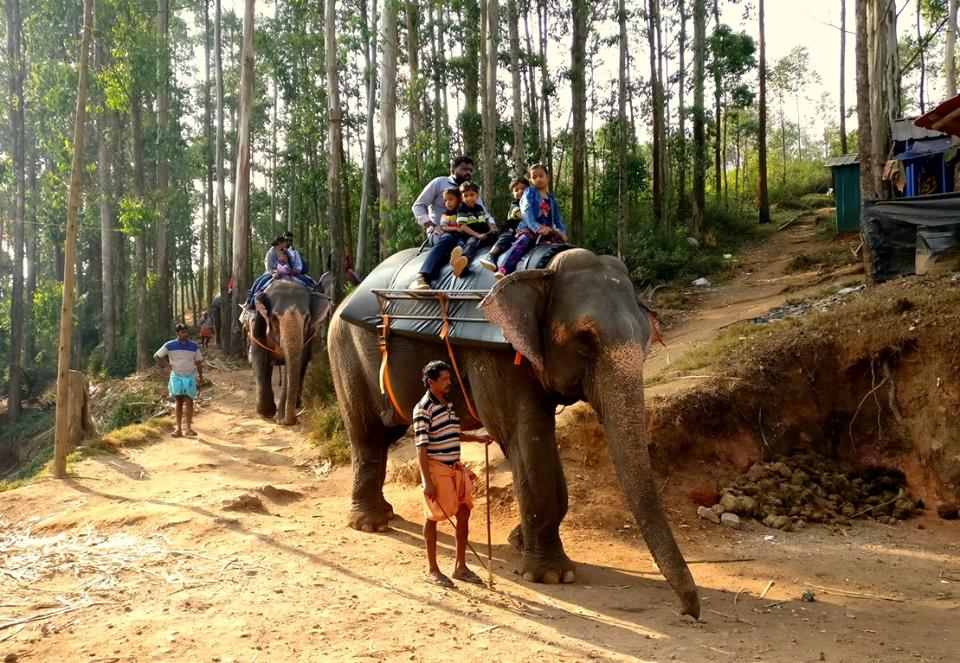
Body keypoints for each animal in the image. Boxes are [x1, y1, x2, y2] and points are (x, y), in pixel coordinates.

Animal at [244, 279, 331, 425]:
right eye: (274, 318)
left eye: (307, 318)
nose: (290, 420)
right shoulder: (257, 323)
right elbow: (257, 358)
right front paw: (266, 413)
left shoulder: (306, 336)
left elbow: (296, 362)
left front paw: (280, 418)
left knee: (303, 365)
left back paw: (297, 403)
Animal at [327, 248, 700, 619]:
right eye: (585, 339)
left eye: (646, 338)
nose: (689, 612)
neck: (542, 273)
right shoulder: (495, 354)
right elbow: (522, 432)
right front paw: (551, 576)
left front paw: (519, 542)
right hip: (344, 350)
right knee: (368, 435)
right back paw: (372, 524)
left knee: (386, 433)